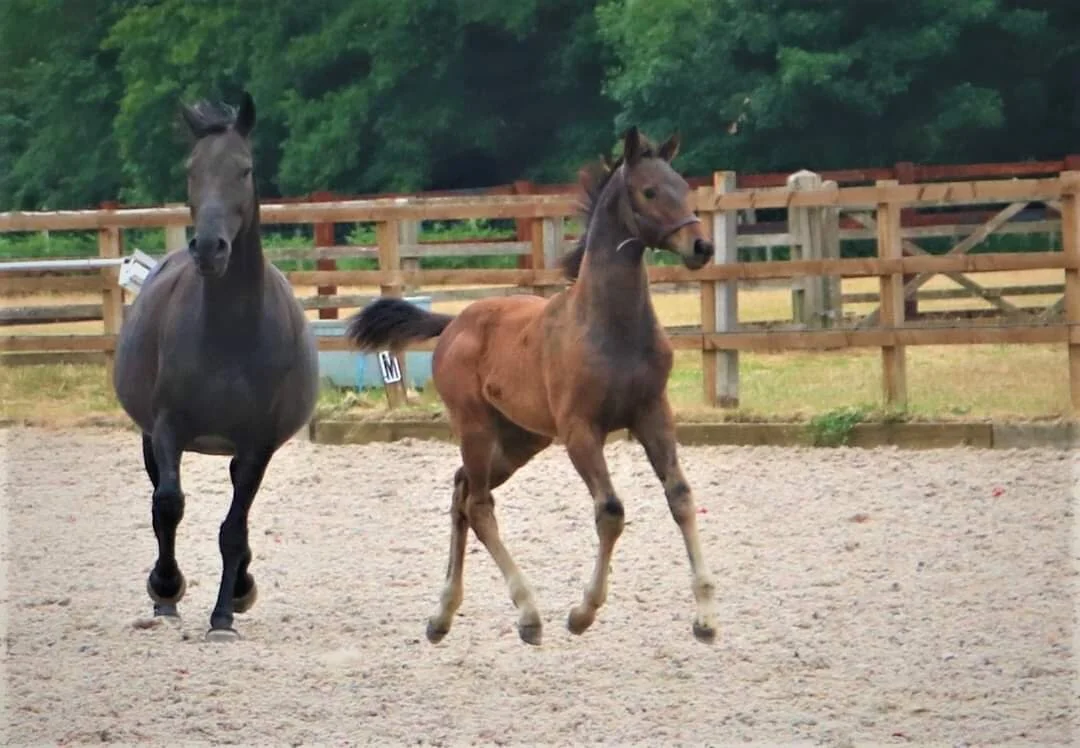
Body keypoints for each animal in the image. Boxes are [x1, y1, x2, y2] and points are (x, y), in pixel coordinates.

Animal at [112, 92, 320, 642]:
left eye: (244, 169)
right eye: (192, 169)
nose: (209, 248)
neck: (230, 331)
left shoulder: (256, 444)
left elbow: (233, 528)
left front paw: (224, 615)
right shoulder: (167, 428)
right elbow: (168, 505)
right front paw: (166, 588)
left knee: (237, 516)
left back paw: (241, 587)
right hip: (152, 439)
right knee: (162, 502)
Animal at [345, 126, 719, 646]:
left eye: (683, 187)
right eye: (648, 192)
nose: (702, 247)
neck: (610, 326)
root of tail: (453, 322)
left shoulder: (653, 414)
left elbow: (680, 497)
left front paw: (705, 616)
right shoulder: (580, 431)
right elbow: (610, 511)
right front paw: (582, 612)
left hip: (520, 440)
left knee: (462, 492)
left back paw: (443, 616)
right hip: (477, 428)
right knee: (479, 504)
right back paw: (528, 613)